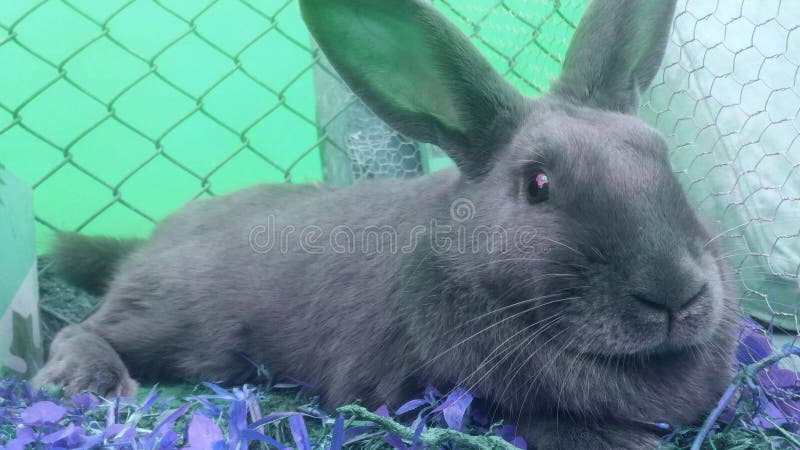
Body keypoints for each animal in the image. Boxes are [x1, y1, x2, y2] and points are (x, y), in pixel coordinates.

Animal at [34, 0, 739, 448]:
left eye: (660, 155)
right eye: (538, 184)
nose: (677, 296)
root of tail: (151, 243)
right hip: (178, 321)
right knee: (79, 329)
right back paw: (90, 381)